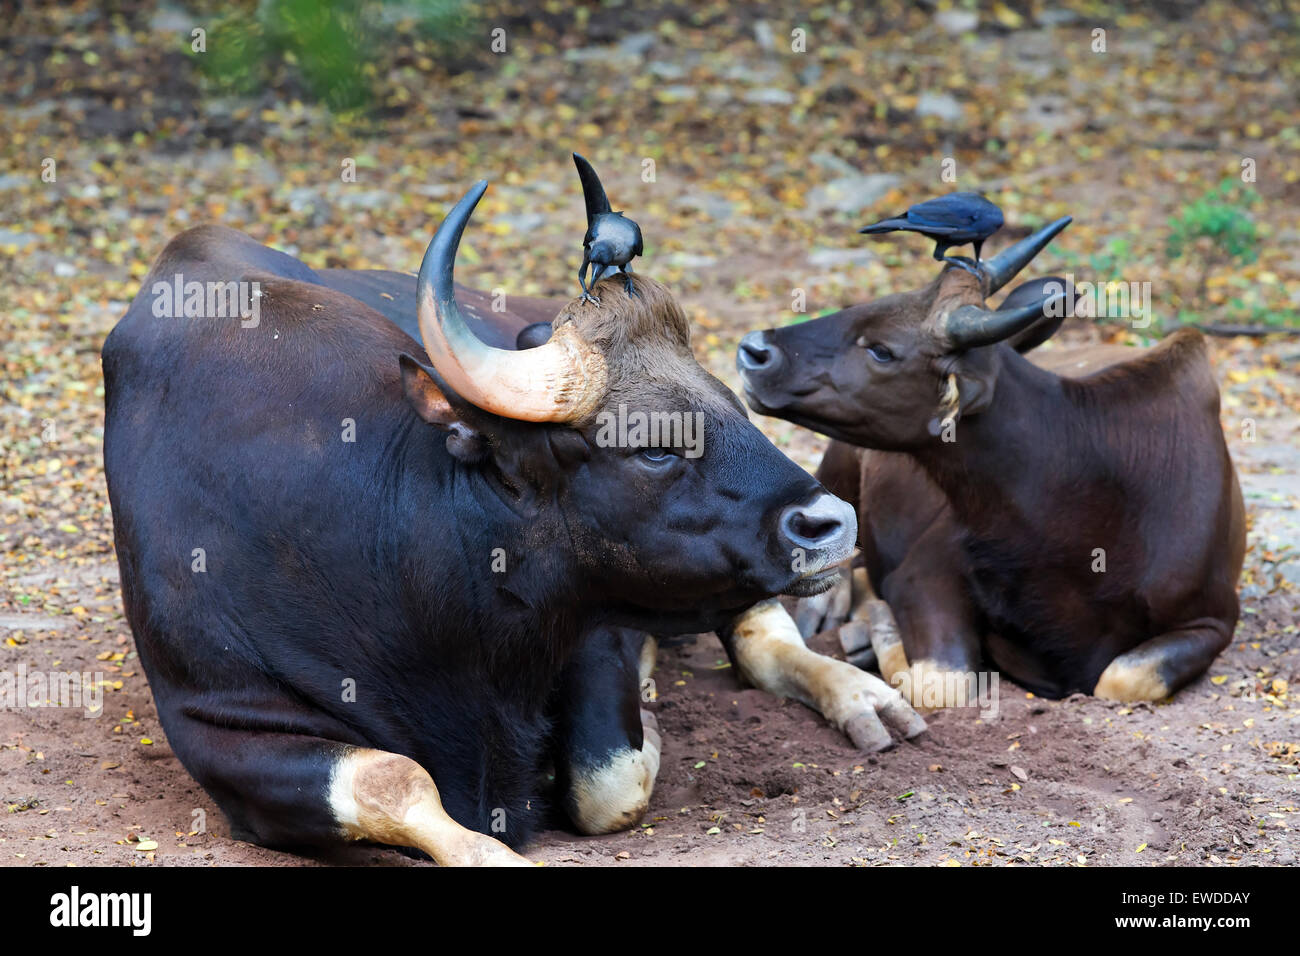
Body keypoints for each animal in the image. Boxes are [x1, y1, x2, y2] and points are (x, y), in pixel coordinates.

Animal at [102, 178, 924, 866]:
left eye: (729, 403)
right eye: (652, 446)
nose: (828, 521)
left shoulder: (592, 616)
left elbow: (607, 782)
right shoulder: (219, 724)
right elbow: (392, 782)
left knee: (759, 632)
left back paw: (864, 696)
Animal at [736, 217, 1246, 708]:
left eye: (882, 349)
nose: (754, 350)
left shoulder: (1214, 619)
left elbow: (1123, 677)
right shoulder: (923, 572)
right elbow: (942, 683)